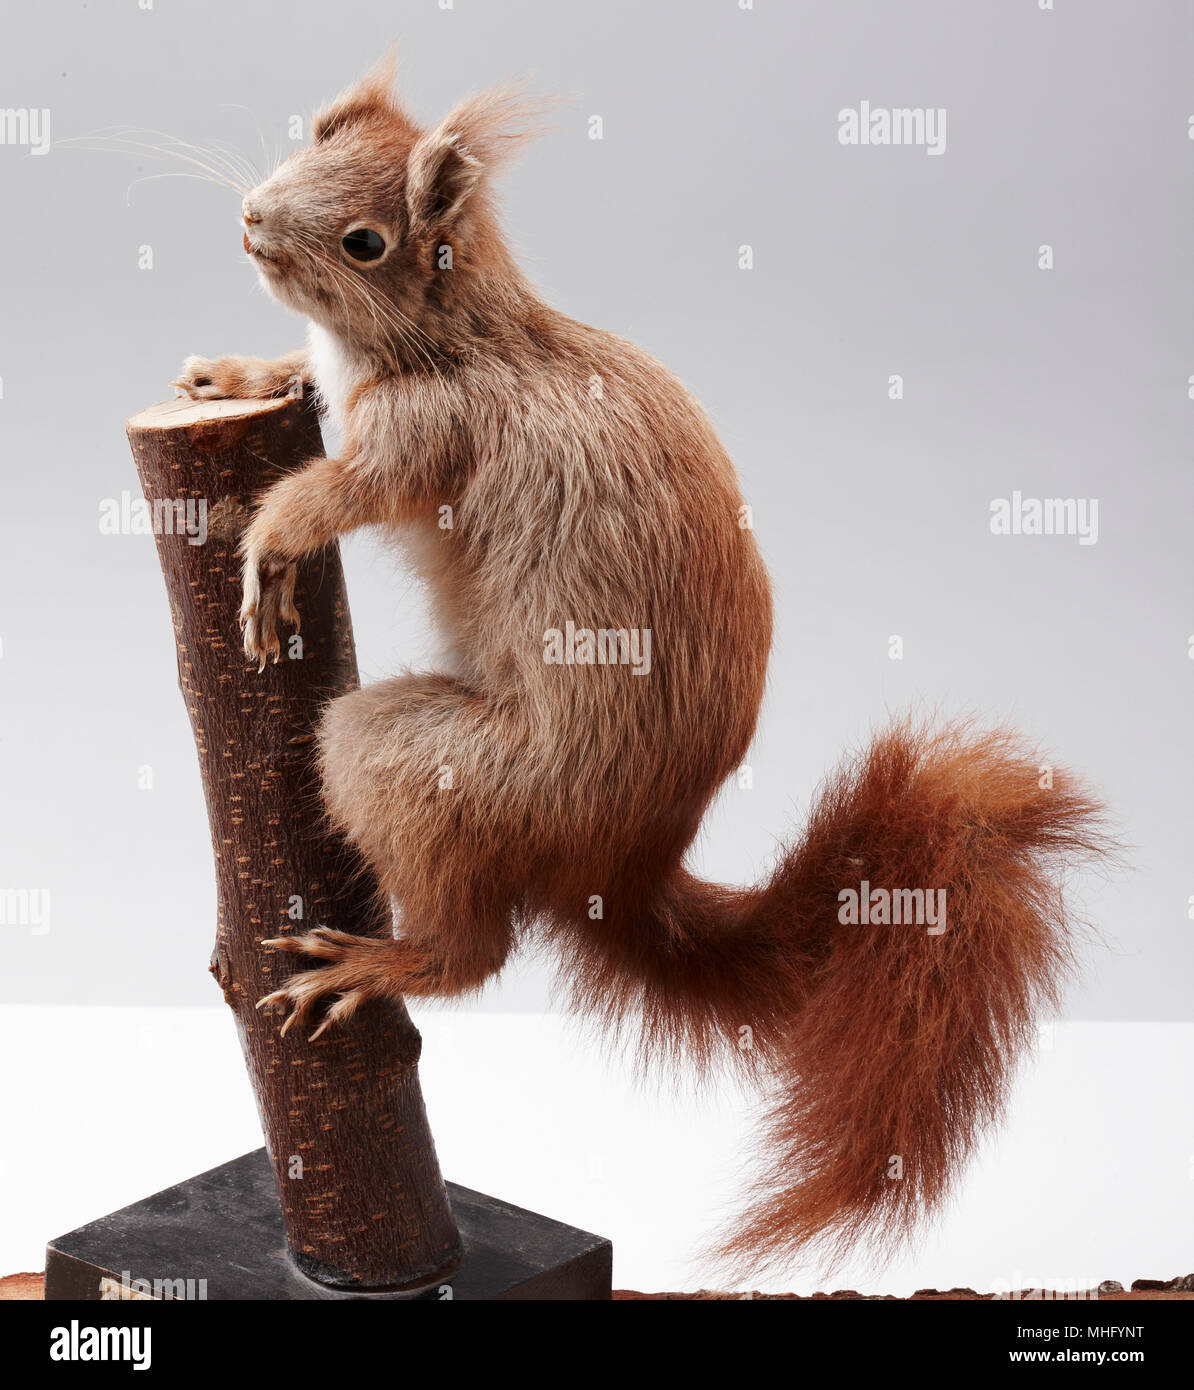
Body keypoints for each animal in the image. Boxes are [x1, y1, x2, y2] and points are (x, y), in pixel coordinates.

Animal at [174, 54, 1111, 1273]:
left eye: (365, 242)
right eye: (307, 143)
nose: (250, 218)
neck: (458, 333)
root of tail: (621, 867)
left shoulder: (430, 433)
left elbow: (335, 491)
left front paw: (268, 550)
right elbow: (302, 380)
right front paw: (236, 370)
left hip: (429, 767)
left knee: (472, 949)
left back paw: (378, 966)